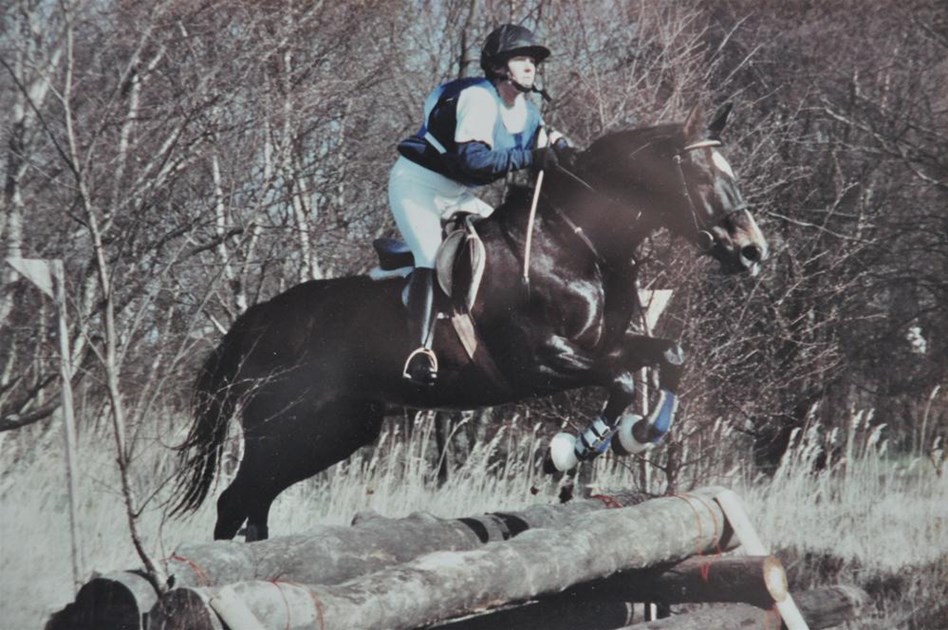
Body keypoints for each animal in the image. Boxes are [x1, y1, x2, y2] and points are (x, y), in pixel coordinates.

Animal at [171, 104, 768, 540]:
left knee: (256, 501)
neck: (574, 241)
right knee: (235, 500)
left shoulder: (607, 342)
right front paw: (568, 452)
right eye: (702, 176)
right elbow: (621, 380)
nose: (752, 250)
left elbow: (667, 355)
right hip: (282, 425)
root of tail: (258, 321)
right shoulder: (540, 360)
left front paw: (637, 436)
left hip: (332, 430)